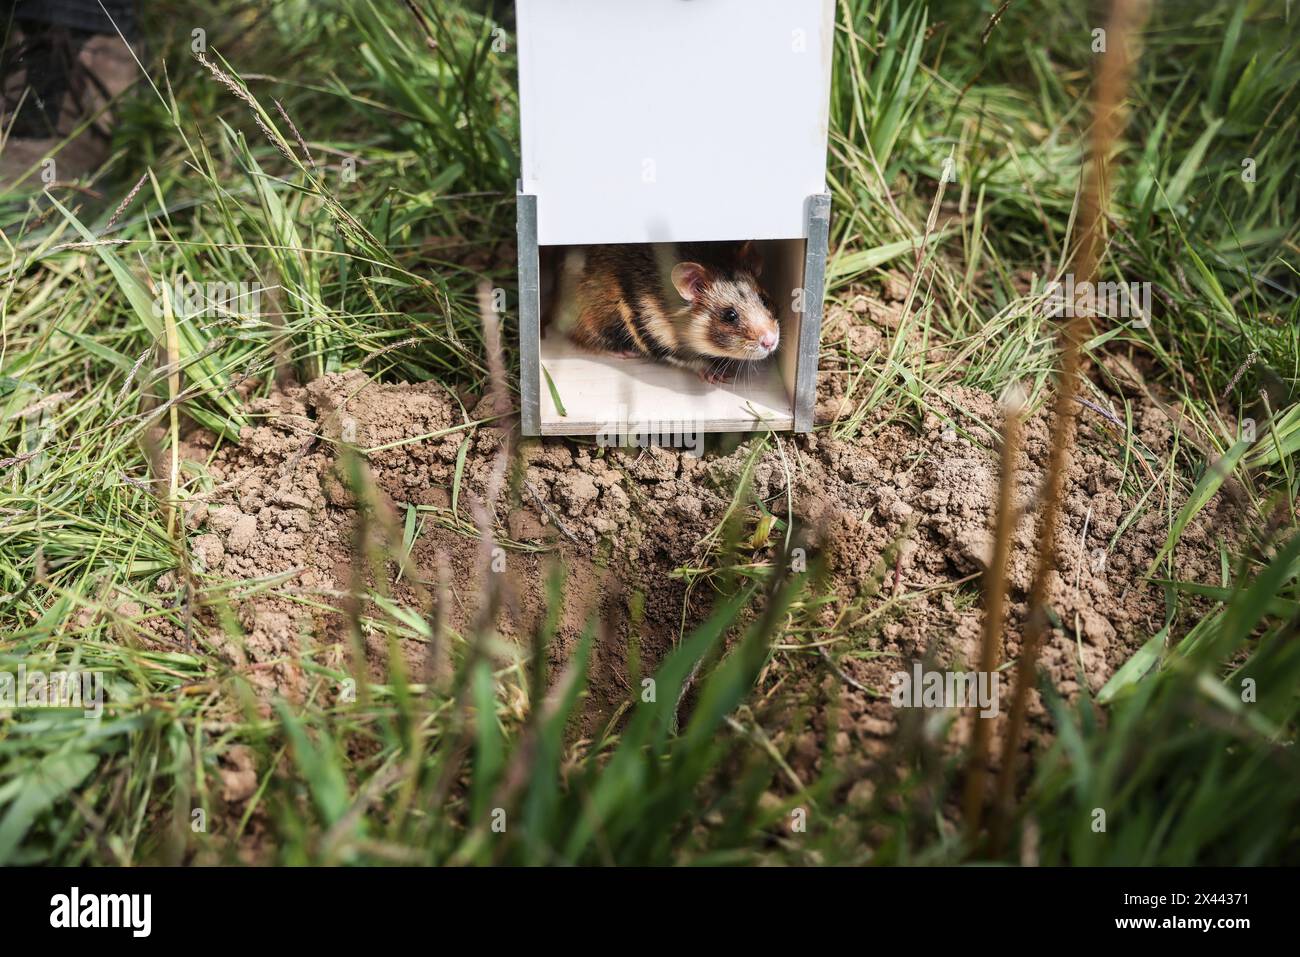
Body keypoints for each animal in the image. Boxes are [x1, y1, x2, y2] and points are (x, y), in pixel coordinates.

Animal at [555, 241, 780, 383]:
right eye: (730, 315)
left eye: (764, 299)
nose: (771, 342)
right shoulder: (654, 334)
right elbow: (687, 358)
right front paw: (716, 374)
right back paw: (623, 352)